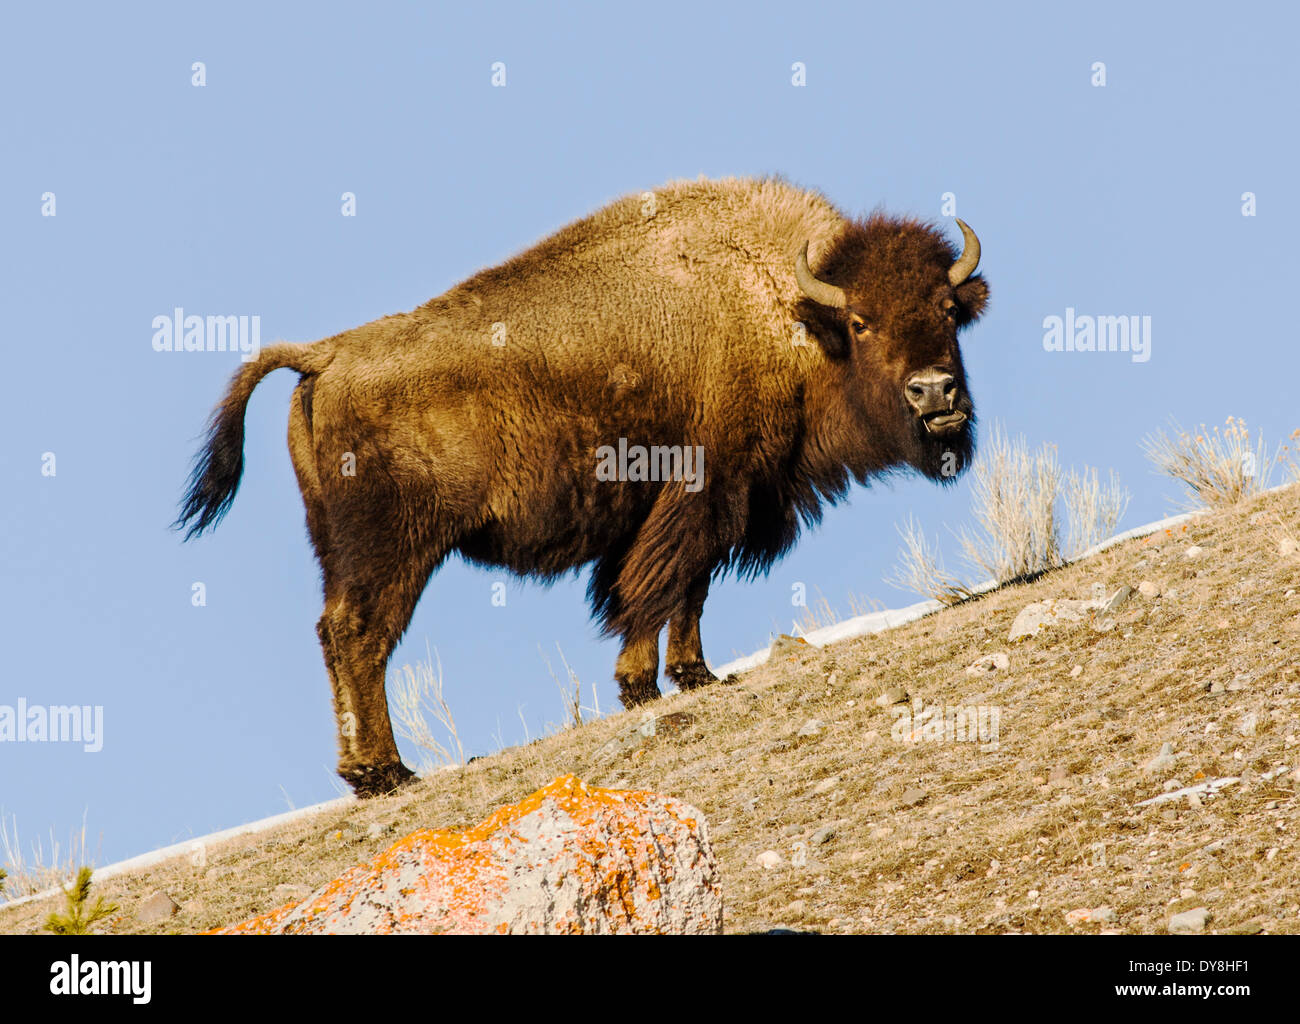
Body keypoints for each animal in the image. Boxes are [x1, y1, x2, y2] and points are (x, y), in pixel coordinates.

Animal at [177, 176, 988, 795]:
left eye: (948, 310)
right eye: (862, 321)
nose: (935, 393)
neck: (781, 307)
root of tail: (326, 355)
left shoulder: (709, 503)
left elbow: (682, 588)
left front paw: (694, 675)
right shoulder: (704, 490)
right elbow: (659, 586)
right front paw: (646, 683)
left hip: (343, 551)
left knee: (334, 632)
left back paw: (364, 773)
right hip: (394, 550)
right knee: (360, 636)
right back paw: (387, 772)